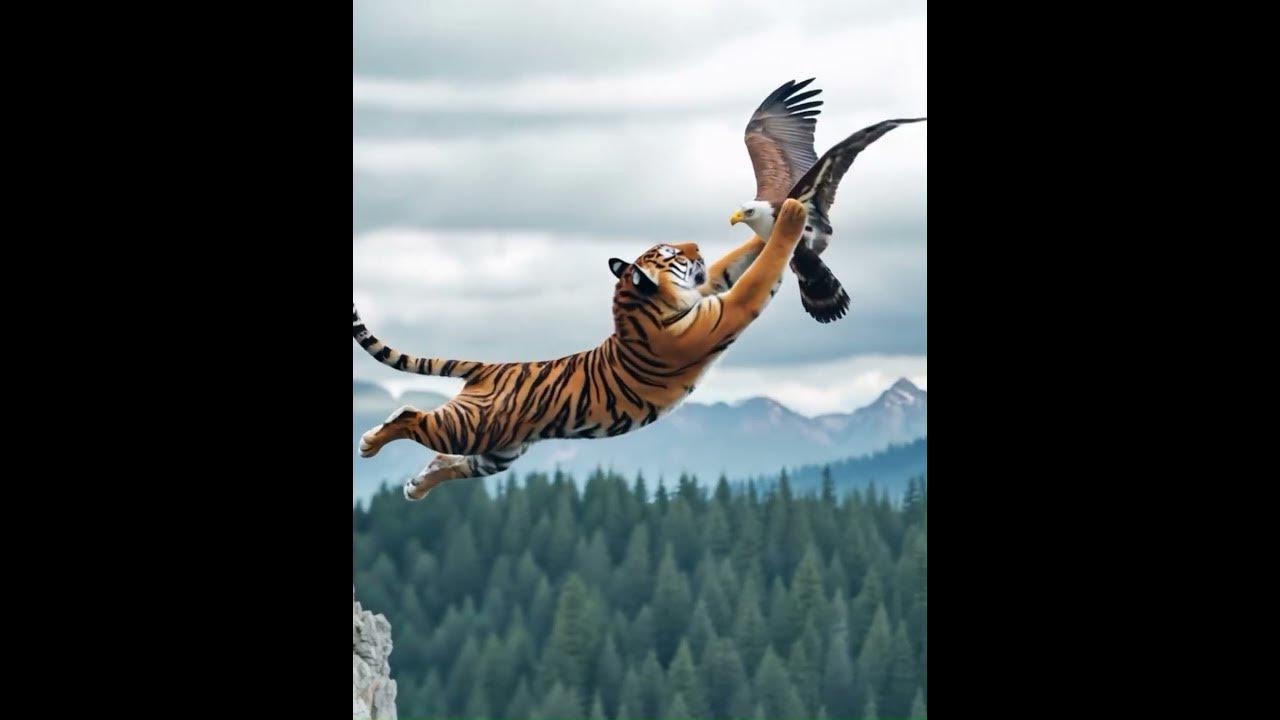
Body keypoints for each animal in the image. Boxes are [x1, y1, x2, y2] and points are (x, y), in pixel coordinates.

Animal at [353, 198, 810, 501]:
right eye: (673, 253)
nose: (696, 244)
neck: (637, 306)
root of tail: (486, 367)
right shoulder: (724, 311)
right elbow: (761, 271)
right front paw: (791, 215)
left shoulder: (707, 292)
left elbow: (734, 263)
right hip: (469, 425)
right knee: (411, 417)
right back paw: (371, 442)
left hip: (498, 450)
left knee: (445, 458)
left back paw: (415, 487)